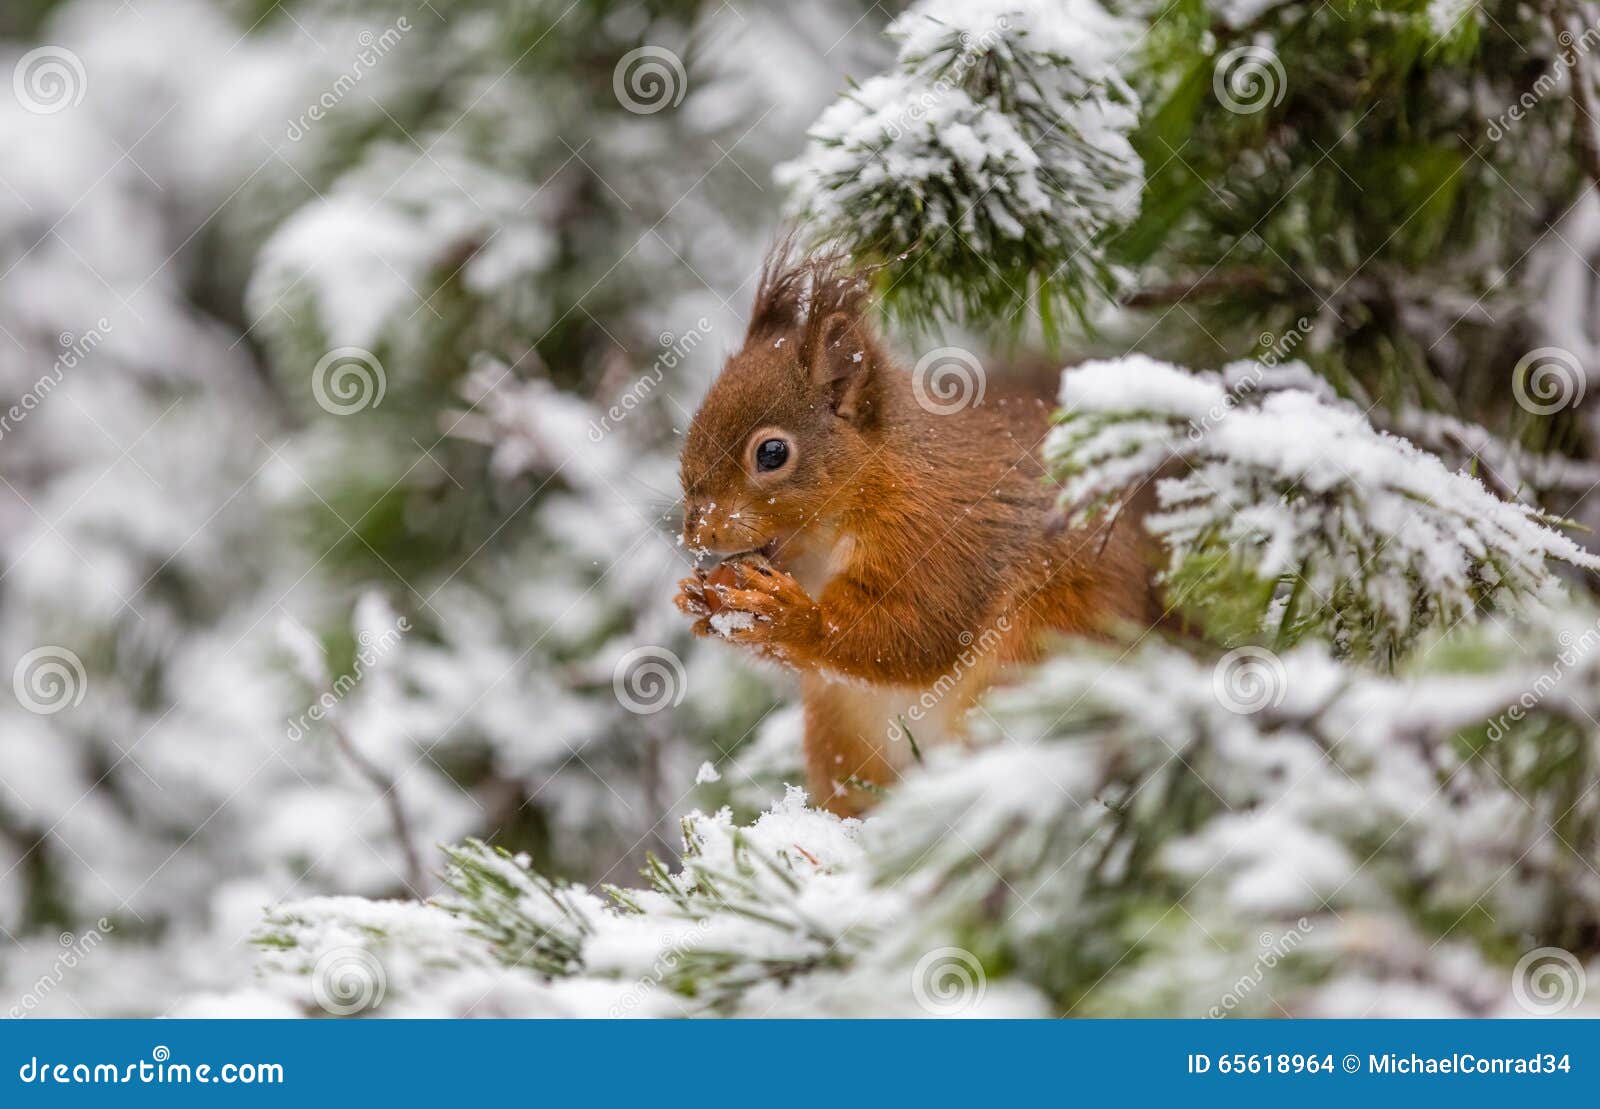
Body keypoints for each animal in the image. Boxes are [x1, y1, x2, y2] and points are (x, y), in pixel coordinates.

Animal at [675, 248, 1164, 816]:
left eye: (772, 453)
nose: (697, 533)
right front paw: (700, 599)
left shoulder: (938, 534)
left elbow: (915, 631)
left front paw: (791, 617)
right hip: (839, 732)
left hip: (1035, 660)